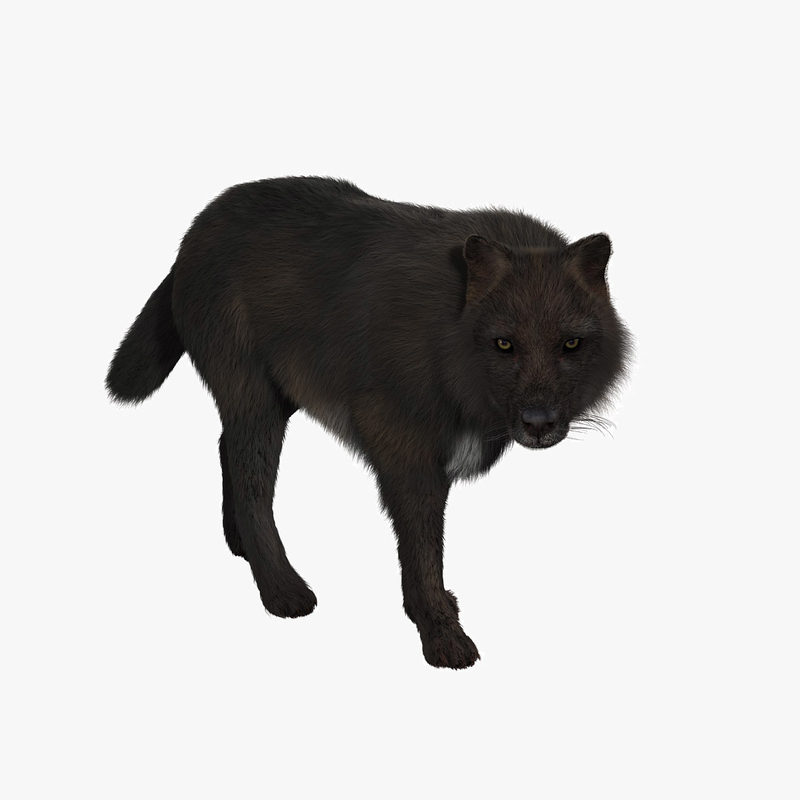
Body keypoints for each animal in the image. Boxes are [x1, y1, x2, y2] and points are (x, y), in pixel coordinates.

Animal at [106, 177, 632, 668]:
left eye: (570, 344)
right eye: (505, 344)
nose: (538, 423)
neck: (445, 334)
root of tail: (200, 223)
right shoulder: (405, 453)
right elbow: (422, 552)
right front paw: (442, 637)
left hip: (277, 399)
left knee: (224, 449)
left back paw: (238, 543)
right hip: (256, 401)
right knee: (253, 484)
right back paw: (281, 590)